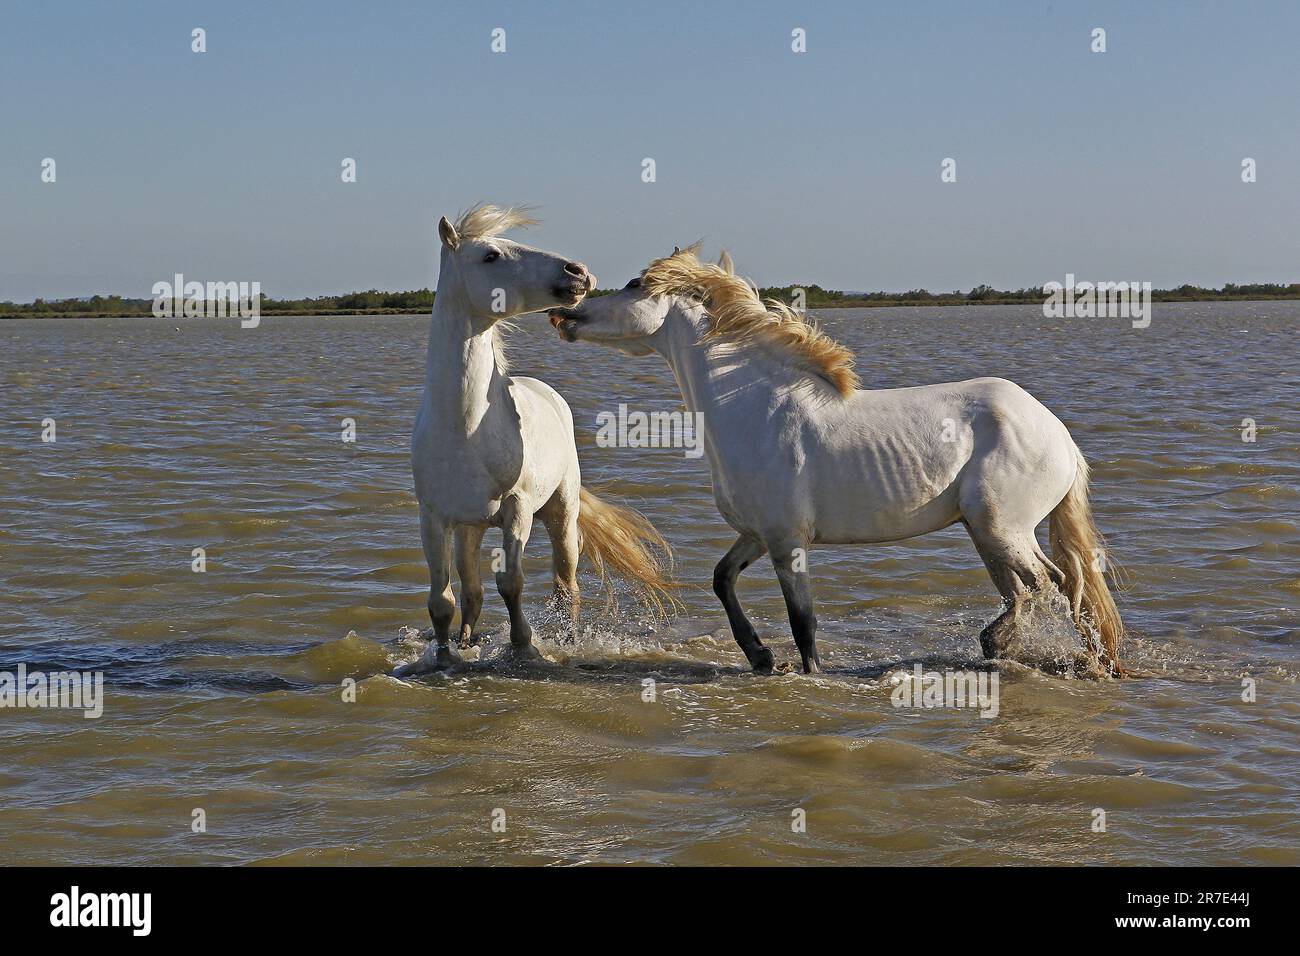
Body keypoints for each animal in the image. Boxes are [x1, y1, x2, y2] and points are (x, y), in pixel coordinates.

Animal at [394, 205, 672, 677]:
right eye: (490, 255)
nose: (578, 272)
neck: (465, 427)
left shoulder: (517, 510)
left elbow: (512, 583)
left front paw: (524, 648)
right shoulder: (433, 518)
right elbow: (442, 599)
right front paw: (444, 658)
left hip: (562, 513)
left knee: (566, 584)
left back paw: (568, 640)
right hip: (470, 529)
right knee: (471, 592)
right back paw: (467, 640)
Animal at [549, 245, 1125, 677]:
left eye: (633, 284)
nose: (565, 315)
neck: (751, 406)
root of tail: (1058, 434)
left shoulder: (788, 542)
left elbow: (803, 625)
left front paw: (803, 673)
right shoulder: (758, 534)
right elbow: (721, 579)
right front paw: (759, 655)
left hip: (1001, 527)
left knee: (1050, 584)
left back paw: (1035, 652)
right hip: (985, 532)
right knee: (1044, 588)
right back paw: (1047, 653)